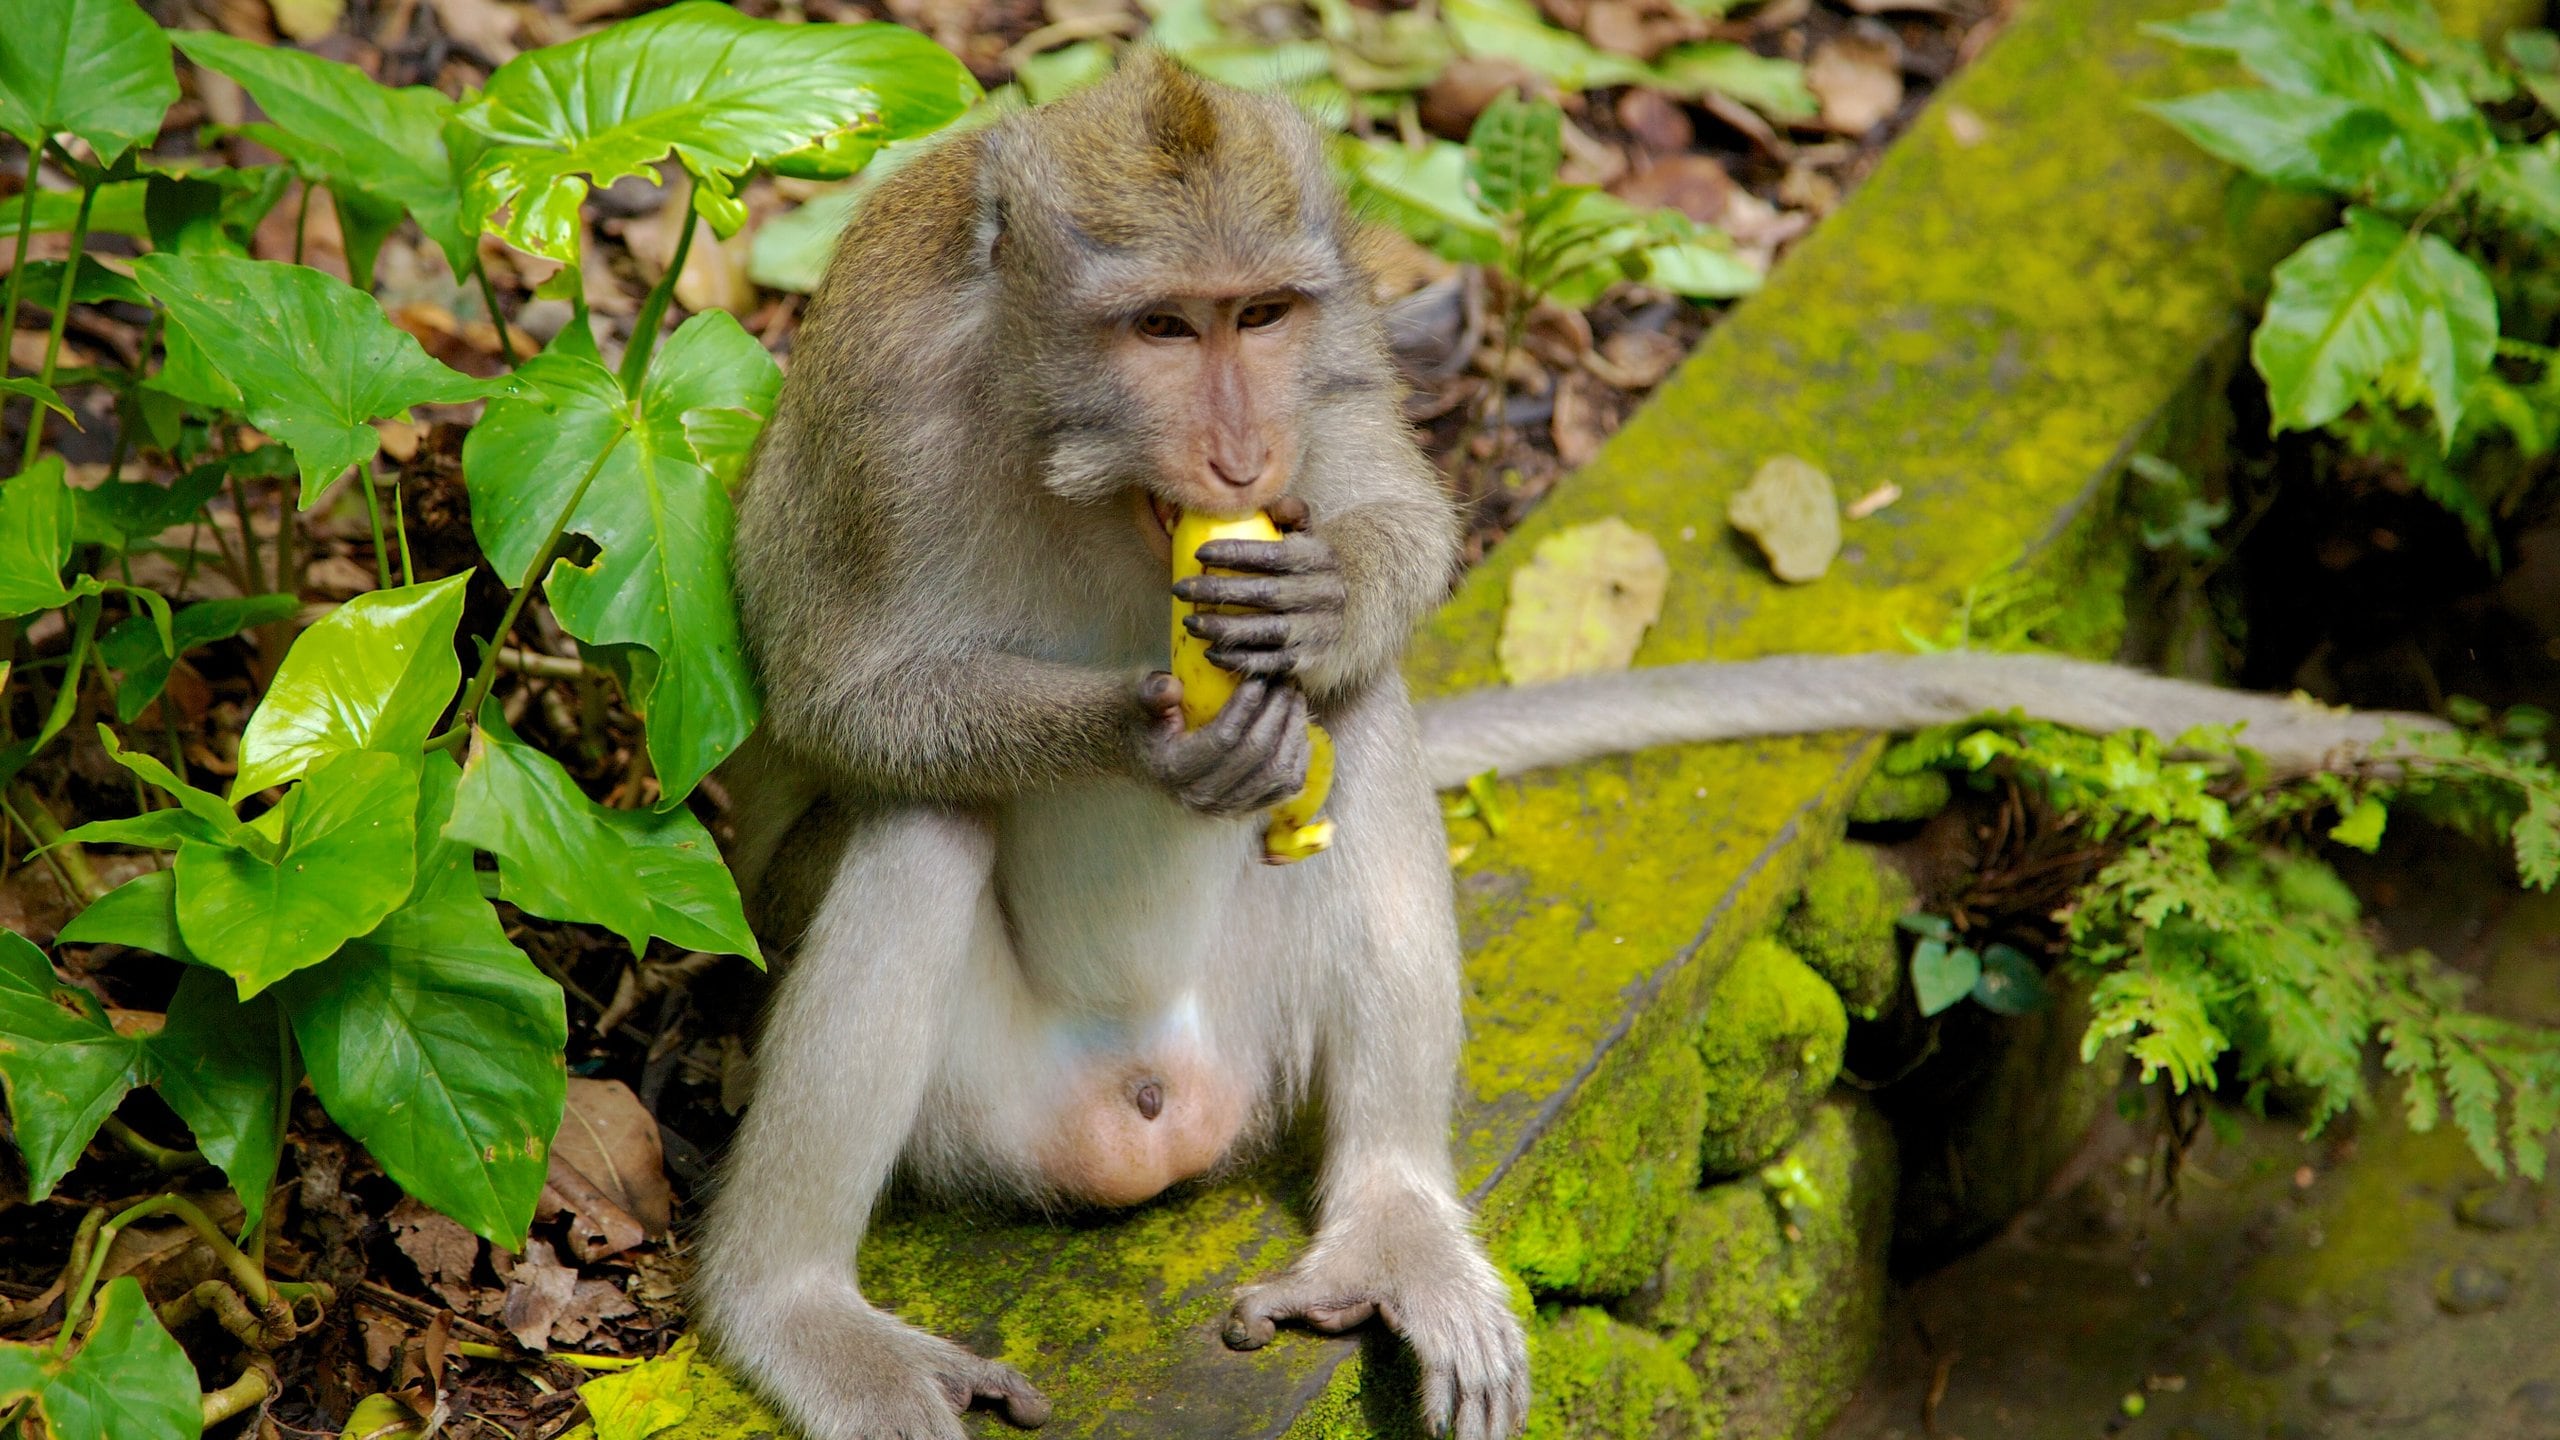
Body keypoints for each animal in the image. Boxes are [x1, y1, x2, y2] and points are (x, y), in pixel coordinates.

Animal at [696, 49, 2435, 1440]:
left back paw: (1392, 1215)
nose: (1244, 453)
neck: (1082, 460)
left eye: (1260, 315)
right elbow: (837, 700)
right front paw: (1142, 727)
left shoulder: (1339, 349)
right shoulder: (880, 399)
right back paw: (798, 1313)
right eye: (1161, 327)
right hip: (986, 1112)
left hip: (1247, 1041)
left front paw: (1325, 604)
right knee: (923, 822)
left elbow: (1393, 535)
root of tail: (1150, 1115)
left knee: (1367, 721)